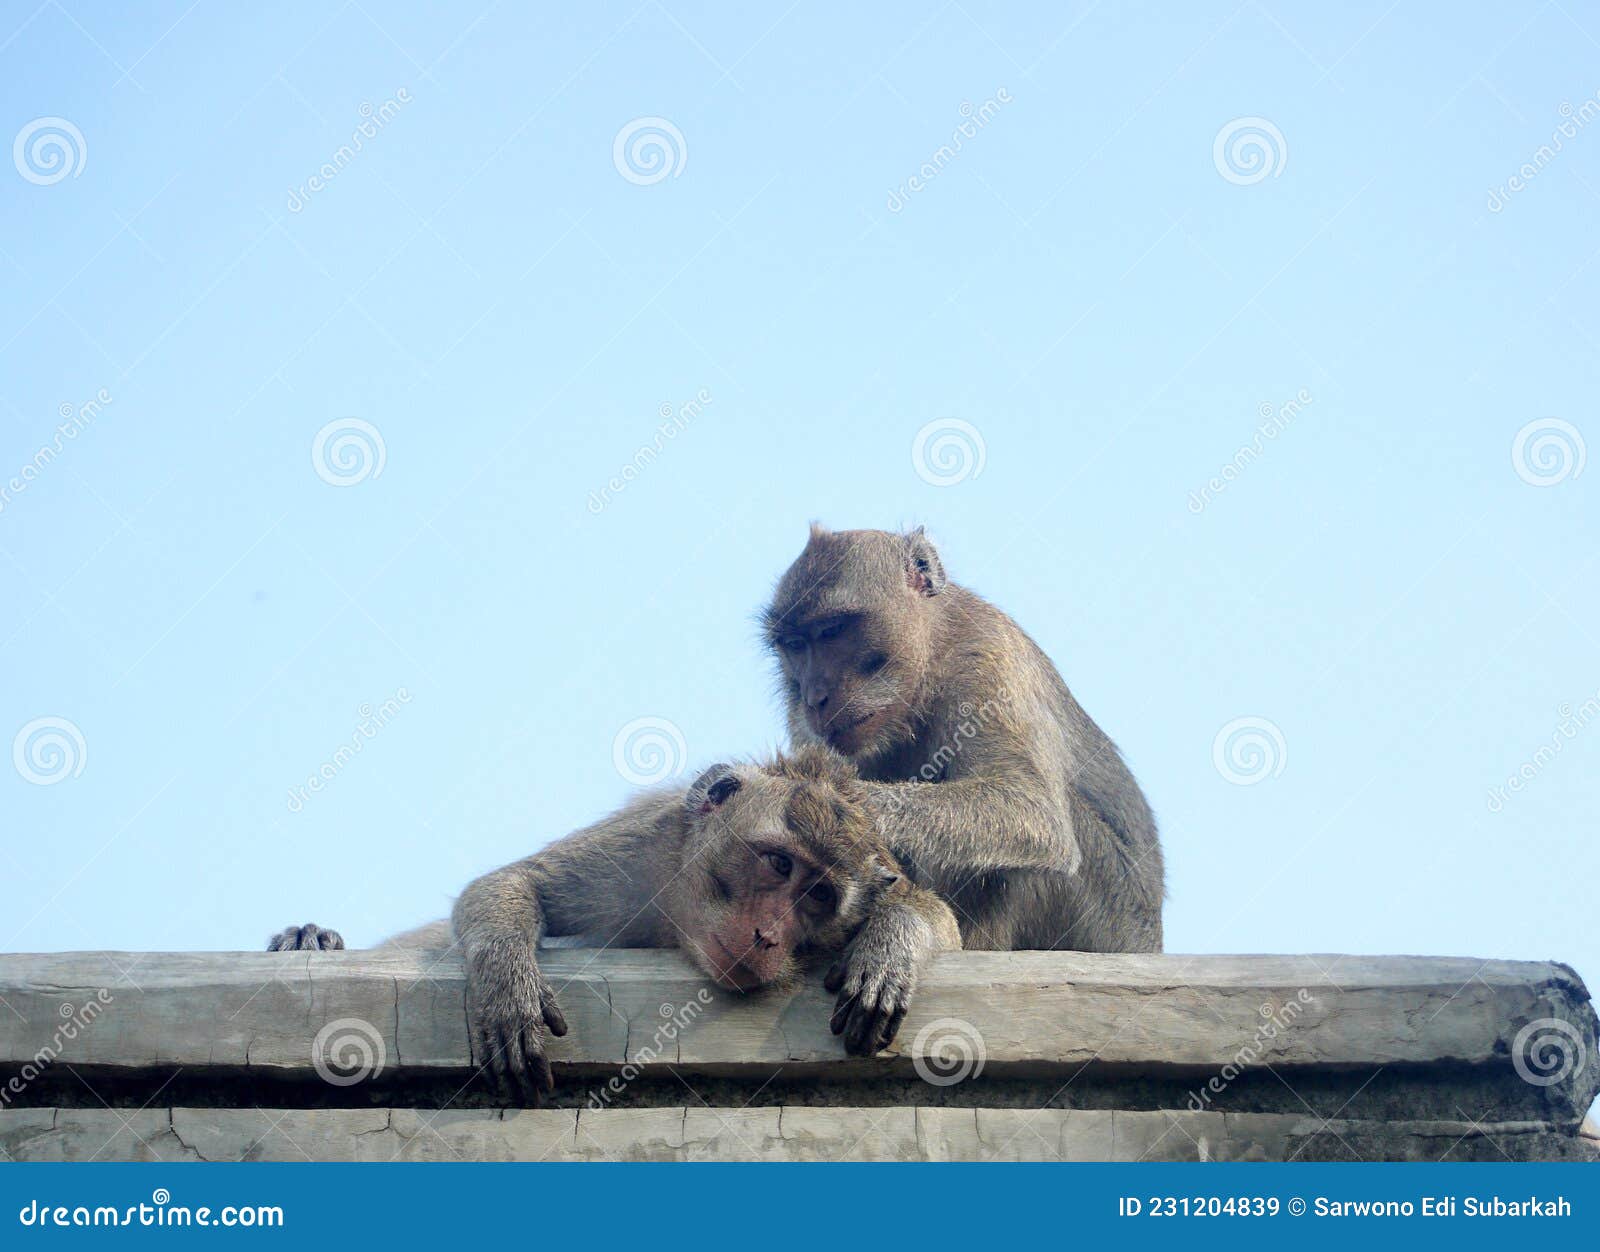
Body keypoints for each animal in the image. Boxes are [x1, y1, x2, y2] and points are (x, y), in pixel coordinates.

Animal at [266, 744, 961, 1100]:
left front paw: (890, 948)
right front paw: (509, 989)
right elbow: (512, 884)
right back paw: (309, 939)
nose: (768, 935)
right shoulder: (636, 854)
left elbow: (940, 919)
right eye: (777, 863)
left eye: (818, 897)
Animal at [764, 524, 1164, 1051]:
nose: (814, 695)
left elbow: (1033, 810)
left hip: (1112, 924)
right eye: (795, 644)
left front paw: (834, 801)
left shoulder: (987, 658)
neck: (928, 661)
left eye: (833, 632)